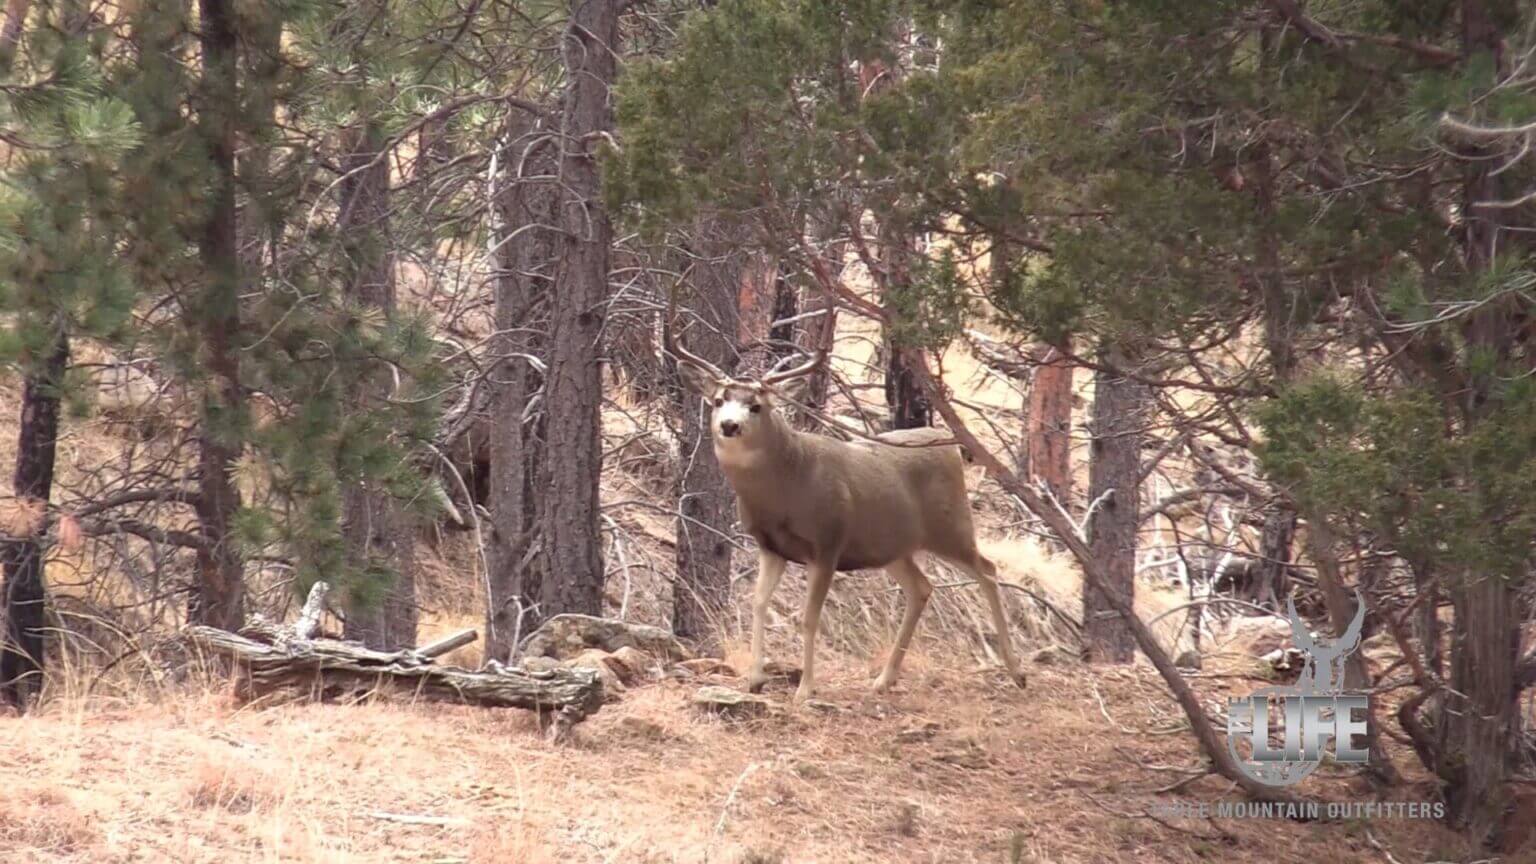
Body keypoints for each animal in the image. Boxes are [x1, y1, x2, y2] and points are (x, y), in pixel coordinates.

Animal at [666, 303, 1026, 703]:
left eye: (756, 406)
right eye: (718, 401)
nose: (729, 425)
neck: (786, 487)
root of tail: (949, 445)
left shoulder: (828, 542)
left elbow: (808, 617)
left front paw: (805, 688)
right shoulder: (770, 546)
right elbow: (758, 604)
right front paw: (755, 678)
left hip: (951, 526)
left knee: (987, 570)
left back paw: (1017, 672)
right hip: (893, 546)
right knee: (922, 587)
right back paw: (884, 679)